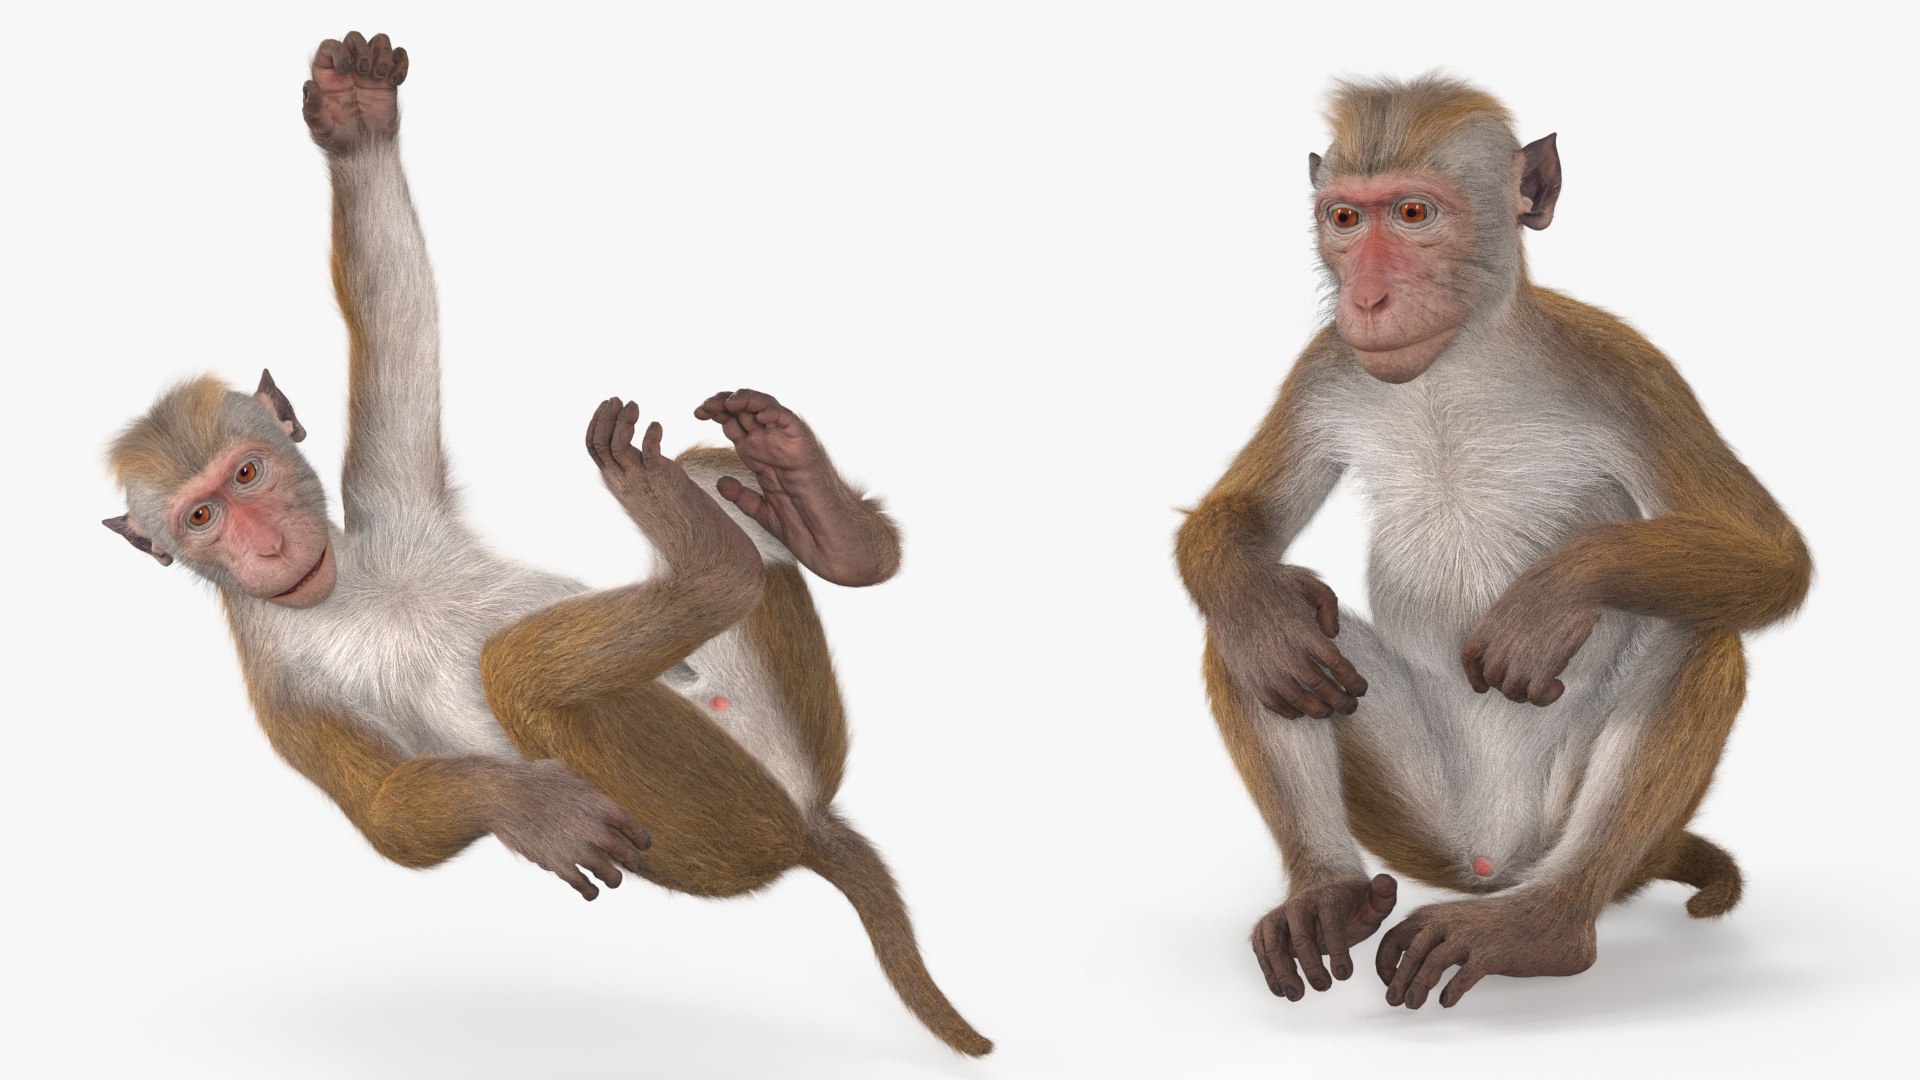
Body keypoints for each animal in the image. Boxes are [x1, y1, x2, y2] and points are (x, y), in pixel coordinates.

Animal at [102, 33, 989, 1056]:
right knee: (517, 671)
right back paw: (713, 569)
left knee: (702, 495)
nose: (263, 541)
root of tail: (807, 824)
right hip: (716, 829)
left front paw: (356, 121)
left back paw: (821, 525)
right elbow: (389, 819)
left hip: (781, 736)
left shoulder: (390, 499)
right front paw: (525, 809)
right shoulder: (276, 679)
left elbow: (397, 309)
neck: (343, 584)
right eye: (198, 520)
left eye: (246, 475)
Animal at [1174, 75, 1810, 1012]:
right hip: (1418, 811)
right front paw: (1265, 613)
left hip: (1551, 817)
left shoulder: (1622, 366)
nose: (1367, 300)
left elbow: (1771, 555)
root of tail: (1486, 860)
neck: (1456, 366)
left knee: (1699, 633)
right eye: (1345, 219)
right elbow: (1242, 519)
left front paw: (1553, 598)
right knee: (1265, 629)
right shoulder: (1326, 364)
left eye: (1412, 213)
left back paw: (1546, 923)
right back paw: (1327, 885)